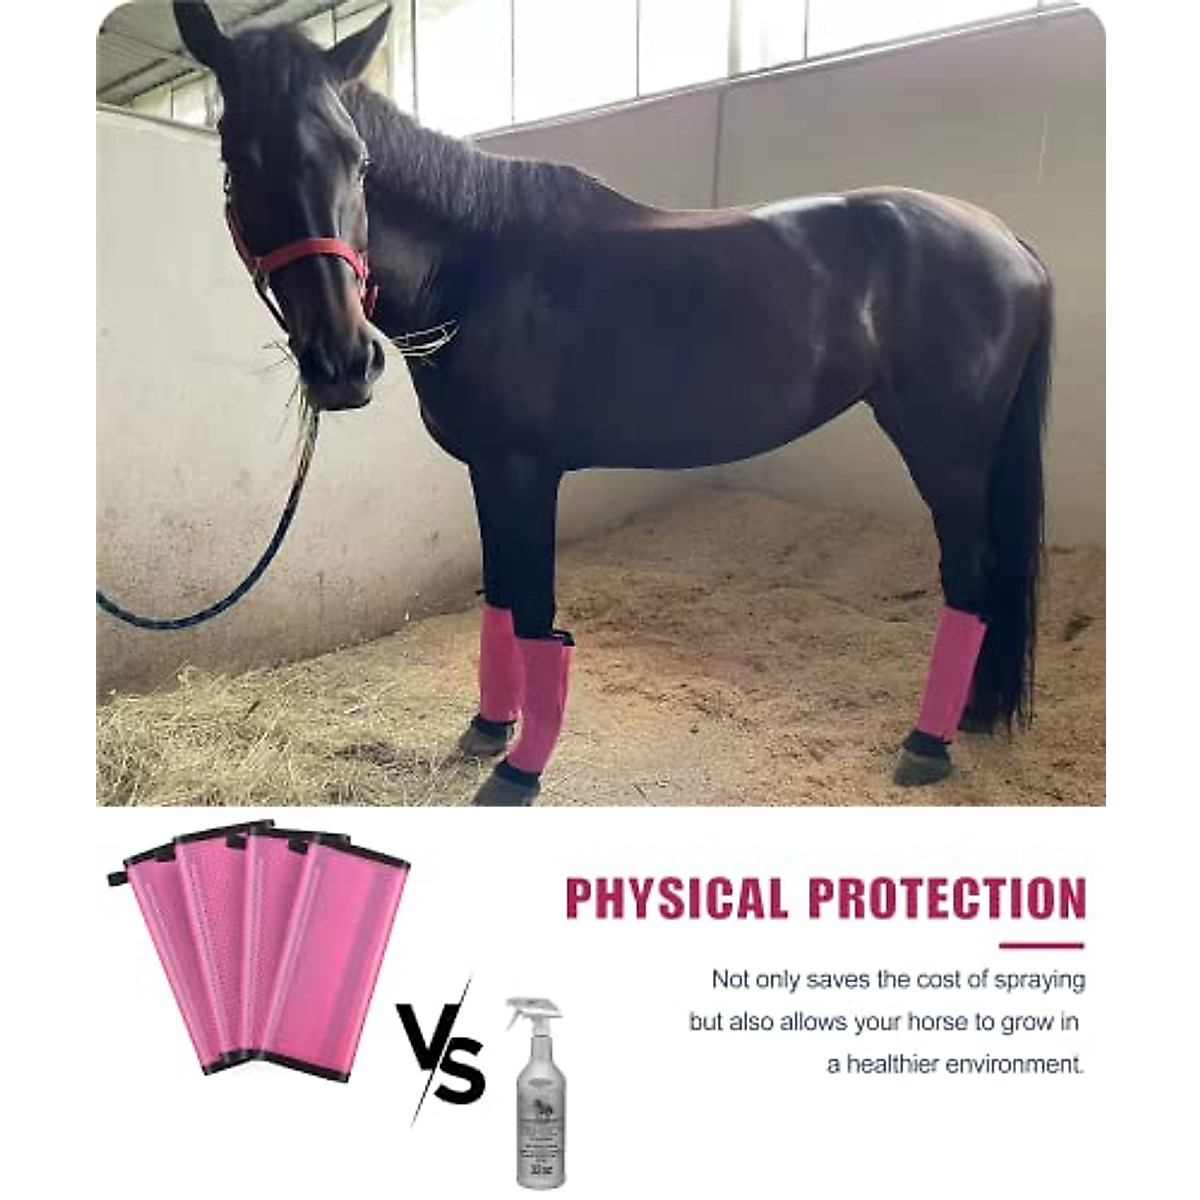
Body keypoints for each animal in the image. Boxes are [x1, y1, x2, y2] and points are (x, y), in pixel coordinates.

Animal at [171, 3, 1053, 806]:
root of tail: (1009, 242)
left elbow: (536, 615)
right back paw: (968, 718)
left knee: (971, 577)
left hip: (946, 453)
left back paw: (926, 743)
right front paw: (489, 728)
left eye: (356, 160)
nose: (343, 364)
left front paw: (518, 773)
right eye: (238, 161)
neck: (480, 266)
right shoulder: (487, 470)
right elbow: (500, 599)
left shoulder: (526, 472)